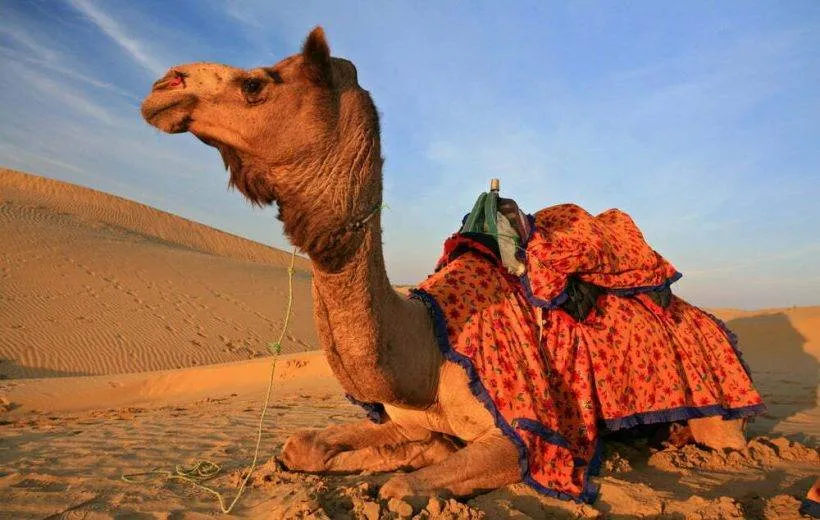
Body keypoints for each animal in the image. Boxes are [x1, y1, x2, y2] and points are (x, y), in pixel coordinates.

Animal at [141, 27, 756, 503]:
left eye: (256, 83)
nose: (162, 85)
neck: (427, 349)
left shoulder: (527, 436)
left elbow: (403, 486)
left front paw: (410, 466)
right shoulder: (400, 415)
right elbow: (304, 445)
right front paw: (399, 449)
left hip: (721, 418)